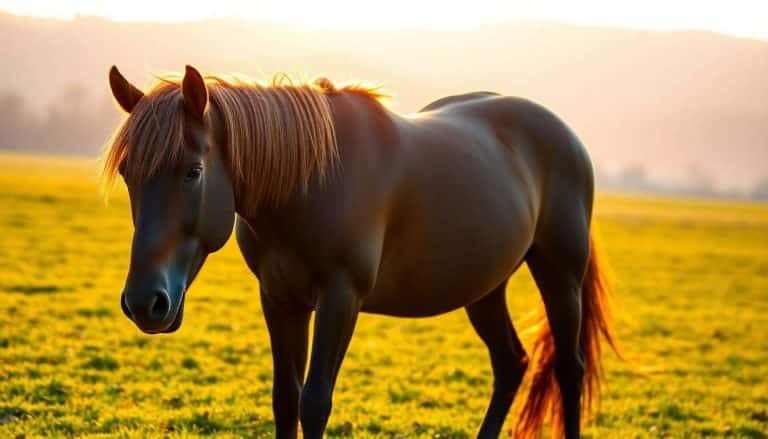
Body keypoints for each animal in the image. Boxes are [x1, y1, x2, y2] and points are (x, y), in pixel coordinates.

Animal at [104, 65, 620, 438]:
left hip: (560, 274)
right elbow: (284, 399)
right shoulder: (280, 298)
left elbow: (315, 402)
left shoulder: (341, 296)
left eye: (192, 171)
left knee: (568, 370)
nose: (145, 303)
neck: (311, 182)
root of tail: (565, 136)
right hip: (485, 287)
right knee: (511, 364)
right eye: (128, 174)